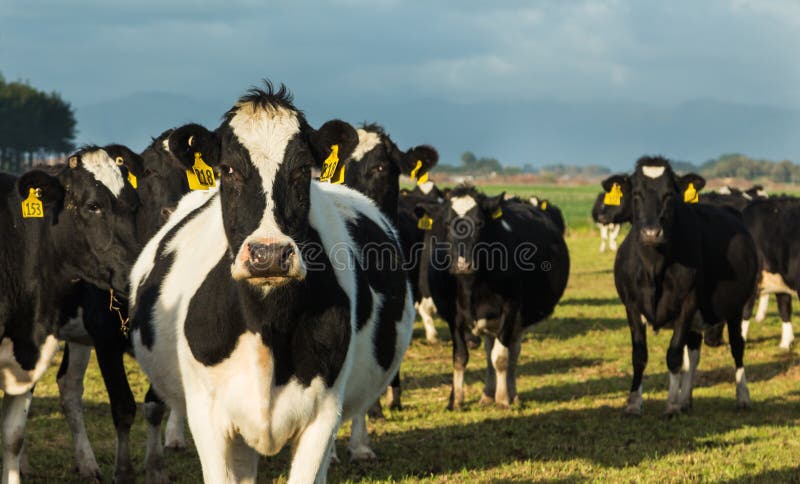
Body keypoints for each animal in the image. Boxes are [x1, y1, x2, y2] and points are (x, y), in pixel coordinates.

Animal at [129, 84, 414, 482]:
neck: (267, 324)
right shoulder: (208, 417)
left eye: (302, 171)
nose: (269, 254)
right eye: (228, 169)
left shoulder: (324, 414)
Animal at [418, 184, 570, 409]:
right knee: (490, 350)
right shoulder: (453, 316)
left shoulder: (510, 308)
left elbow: (501, 357)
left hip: (519, 319)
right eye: (446, 223)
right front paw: (456, 400)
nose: (462, 264)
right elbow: (460, 357)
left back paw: (510, 395)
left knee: (511, 352)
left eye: (480, 223)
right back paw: (487, 394)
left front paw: (503, 399)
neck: (470, 285)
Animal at [610, 156, 758, 417]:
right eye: (636, 194)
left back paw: (742, 396)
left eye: (669, 195)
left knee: (737, 346)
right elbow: (639, 355)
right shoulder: (631, 305)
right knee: (695, 351)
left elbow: (674, 355)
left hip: (735, 307)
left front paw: (670, 405)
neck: (654, 267)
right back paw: (685, 399)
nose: (651, 232)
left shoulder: (687, 303)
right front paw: (634, 403)